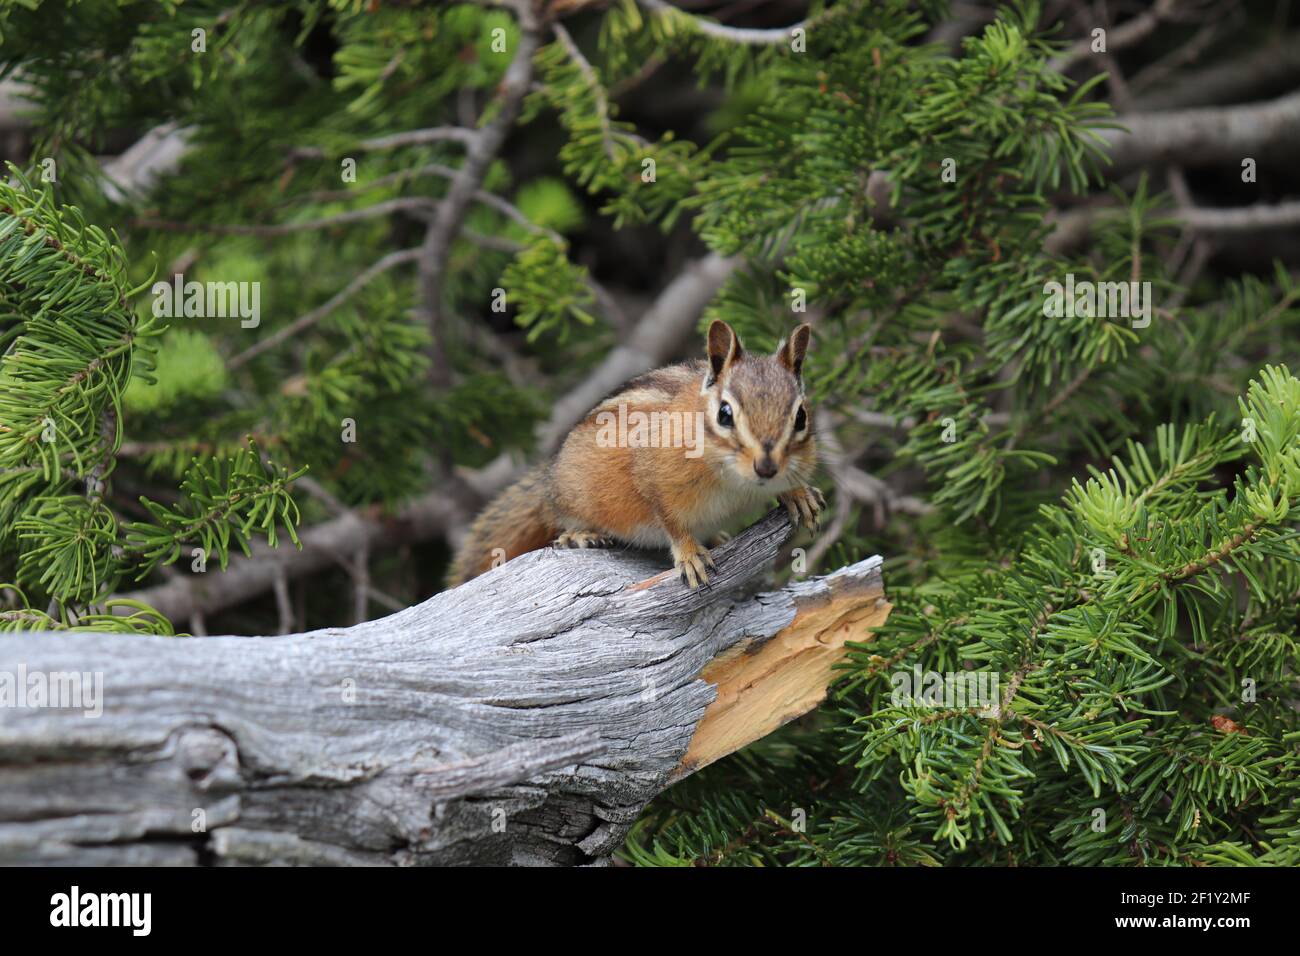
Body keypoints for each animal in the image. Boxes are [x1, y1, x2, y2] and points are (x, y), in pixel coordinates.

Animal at [447, 320, 824, 589]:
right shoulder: (655, 481)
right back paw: (580, 535)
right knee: (561, 520)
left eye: (801, 416)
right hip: (572, 500)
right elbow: (671, 522)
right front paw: (689, 555)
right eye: (725, 414)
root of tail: (547, 481)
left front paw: (798, 494)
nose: (766, 467)